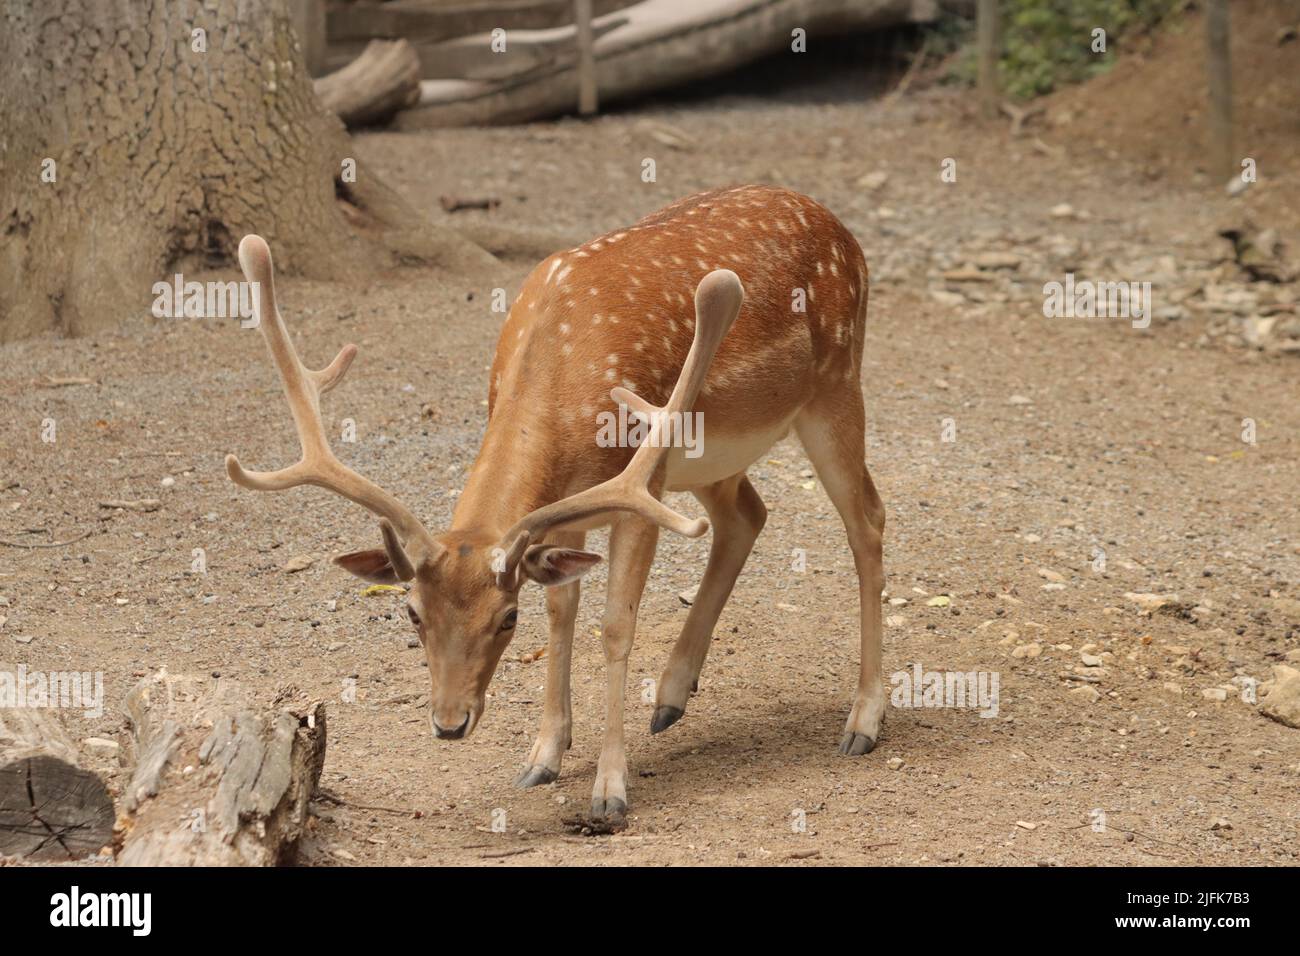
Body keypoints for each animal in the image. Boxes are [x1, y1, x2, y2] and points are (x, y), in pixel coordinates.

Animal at [226, 184, 885, 822]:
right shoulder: (570, 507)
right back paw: (671, 695)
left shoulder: (641, 485)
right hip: (710, 460)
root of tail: (842, 230)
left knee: (868, 519)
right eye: (412, 612)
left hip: (834, 385)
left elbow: (615, 626)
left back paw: (864, 720)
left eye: (505, 619)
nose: (449, 723)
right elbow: (563, 609)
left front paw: (609, 791)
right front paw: (542, 756)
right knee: (747, 515)